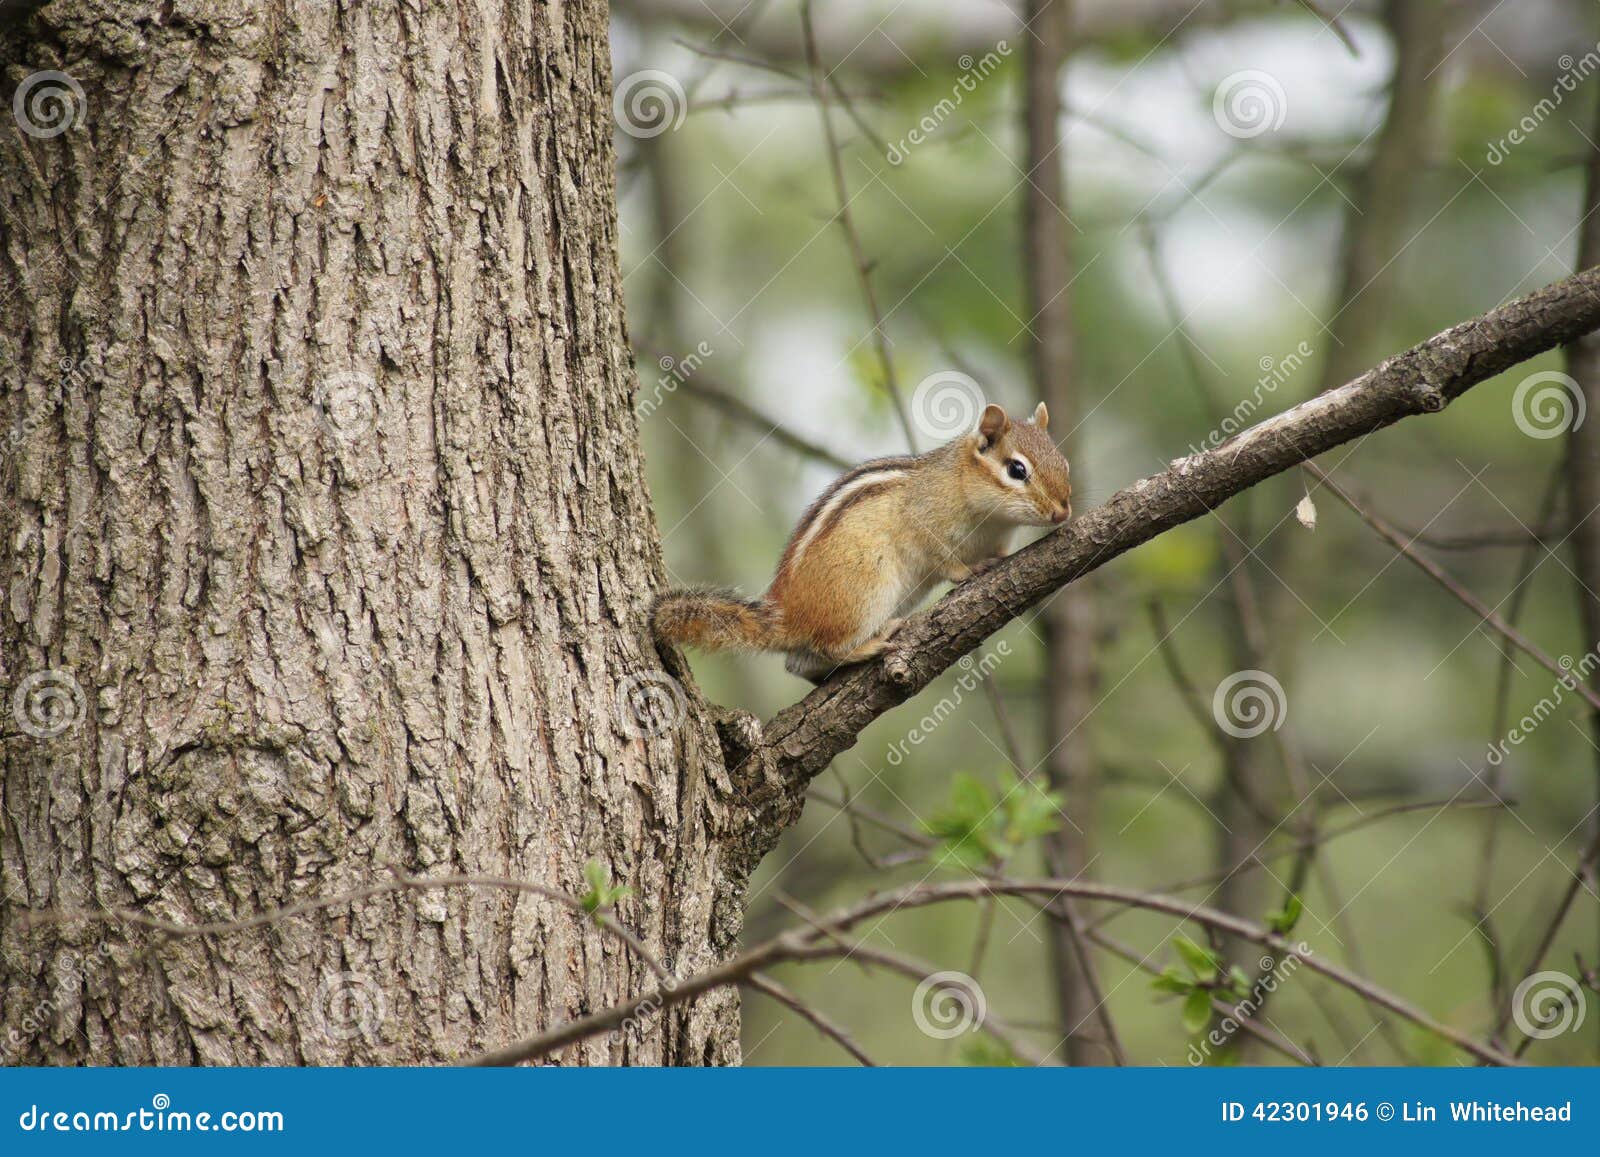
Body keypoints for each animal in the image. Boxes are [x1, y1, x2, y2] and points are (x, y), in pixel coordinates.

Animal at [652, 401, 1072, 682]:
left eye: (1064, 463)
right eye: (1016, 469)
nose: (1062, 512)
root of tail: (785, 613)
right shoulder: (927, 526)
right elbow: (946, 562)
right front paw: (972, 569)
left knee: (797, 662)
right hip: (867, 588)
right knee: (828, 646)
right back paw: (873, 641)